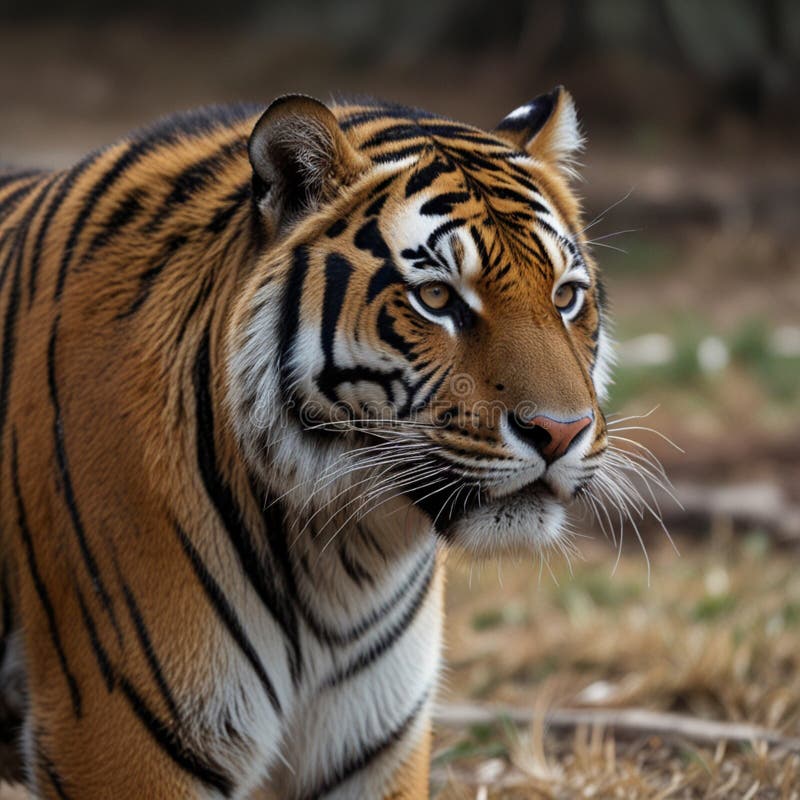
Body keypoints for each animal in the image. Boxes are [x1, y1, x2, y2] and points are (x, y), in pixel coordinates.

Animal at [0, 87, 612, 798]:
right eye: (436, 297)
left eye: (565, 296)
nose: (561, 431)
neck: (341, 556)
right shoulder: (120, 744)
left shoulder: (372, 746)